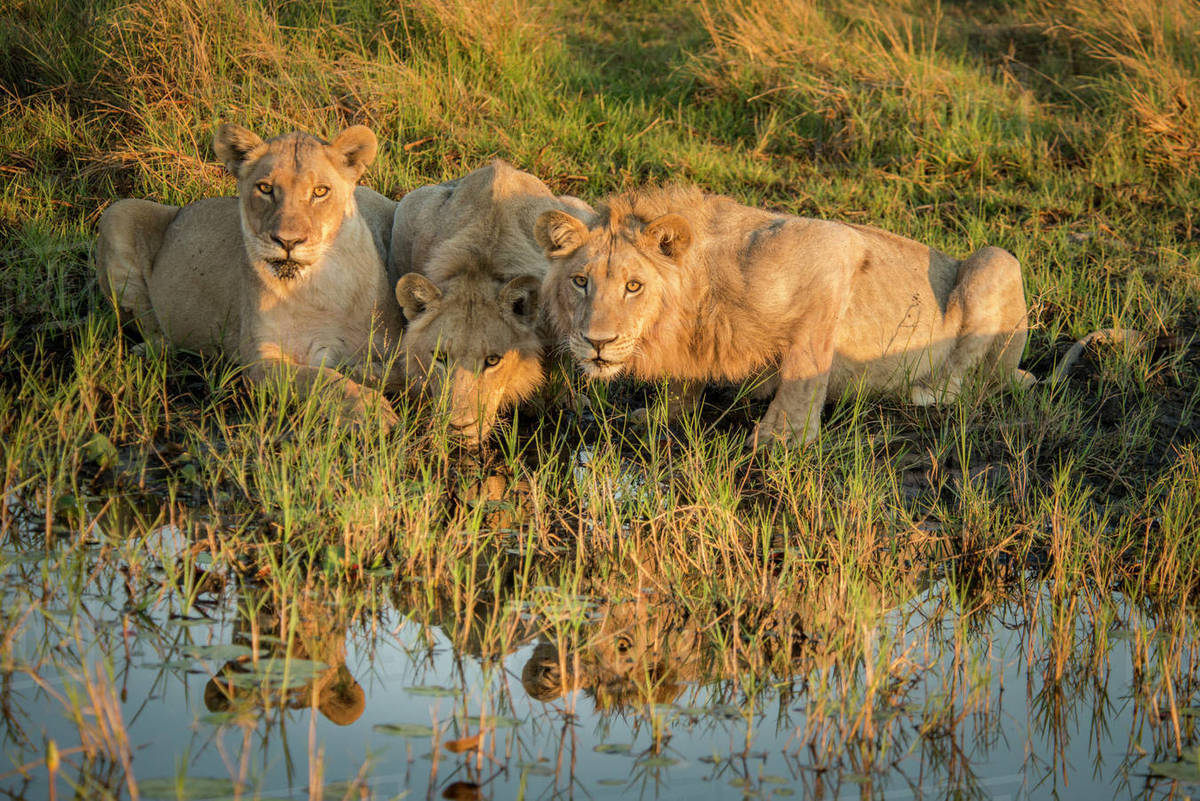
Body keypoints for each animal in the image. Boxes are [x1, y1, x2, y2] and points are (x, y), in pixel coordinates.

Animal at [95, 124, 405, 429]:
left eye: (320, 191)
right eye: (265, 188)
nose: (288, 241)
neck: (318, 285)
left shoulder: (394, 342)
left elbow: (403, 370)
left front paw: (366, 379)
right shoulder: (261, 361)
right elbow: (321, 379)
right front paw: (370, 410)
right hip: (118, 212)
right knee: (150, 325)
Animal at [389, 160, 592, 444]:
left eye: (493, 361)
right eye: (440, 357)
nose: (459, 428)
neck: (480, 266)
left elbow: (564, 361)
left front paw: (566, 401)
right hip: (410, 205)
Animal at [534, 186, 1032, 448]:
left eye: (634, 286)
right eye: (580, 281)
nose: (597, 342)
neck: (697, 299)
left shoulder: (835, 248)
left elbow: (805, 365)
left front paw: (784, 436)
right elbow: (682, 381)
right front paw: (663, 415)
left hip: (997, 260)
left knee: (971, 377)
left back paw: (929, 391)